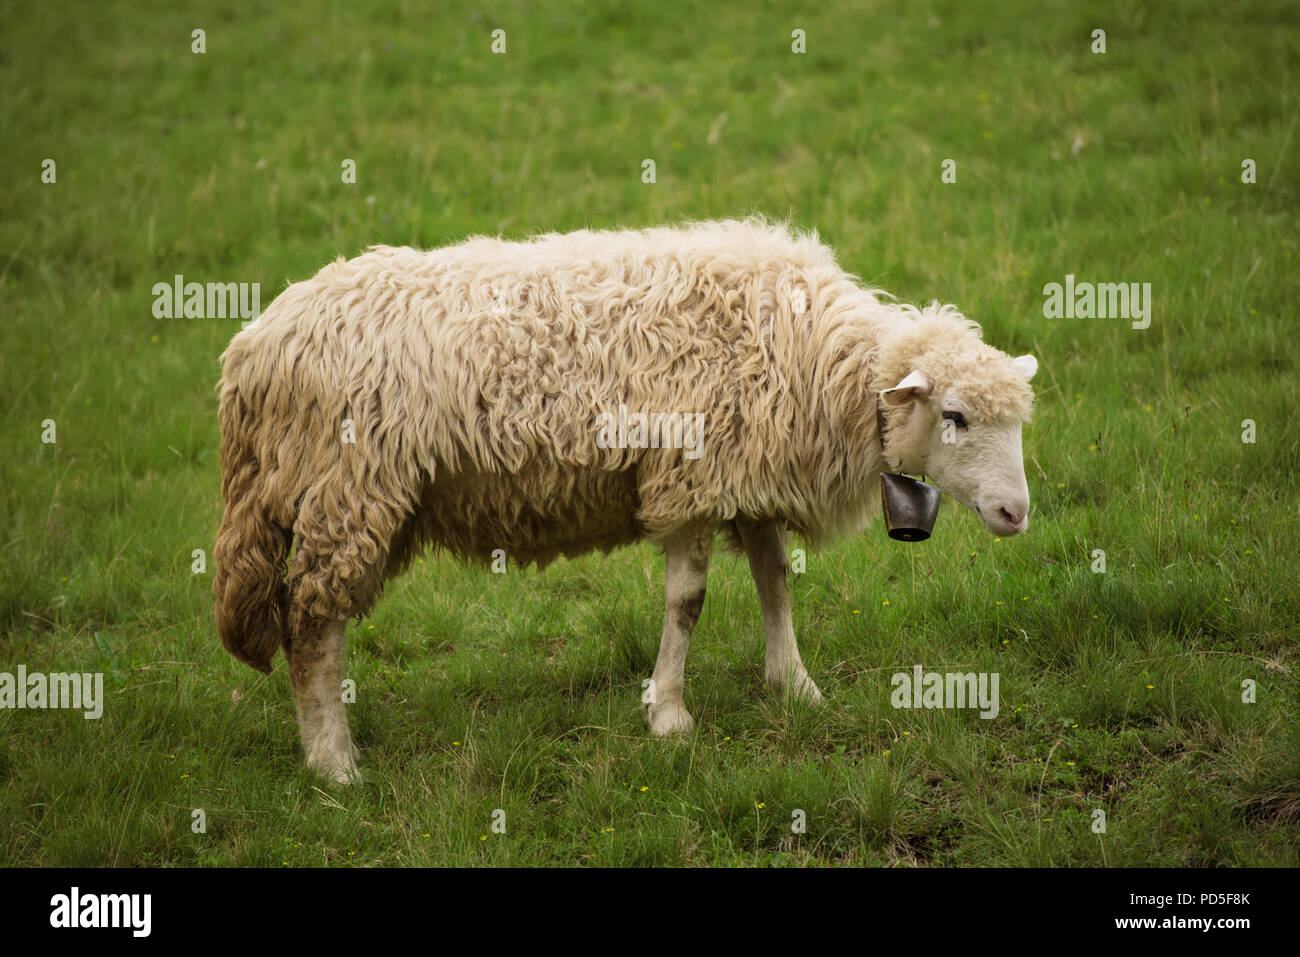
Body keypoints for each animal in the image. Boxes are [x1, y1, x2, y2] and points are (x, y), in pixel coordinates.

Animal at [212, 218, 1038, 783]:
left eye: (1019, 421)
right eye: (956, 416)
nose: (1016, 514)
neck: (810, 358)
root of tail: (254, 351)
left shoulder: (747, 475)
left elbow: (775, 582)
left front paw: (795, 685)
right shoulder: (687, 481)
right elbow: (688, 601)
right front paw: (669, 713)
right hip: (346, 491)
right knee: (312, 622)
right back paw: (334, 761)